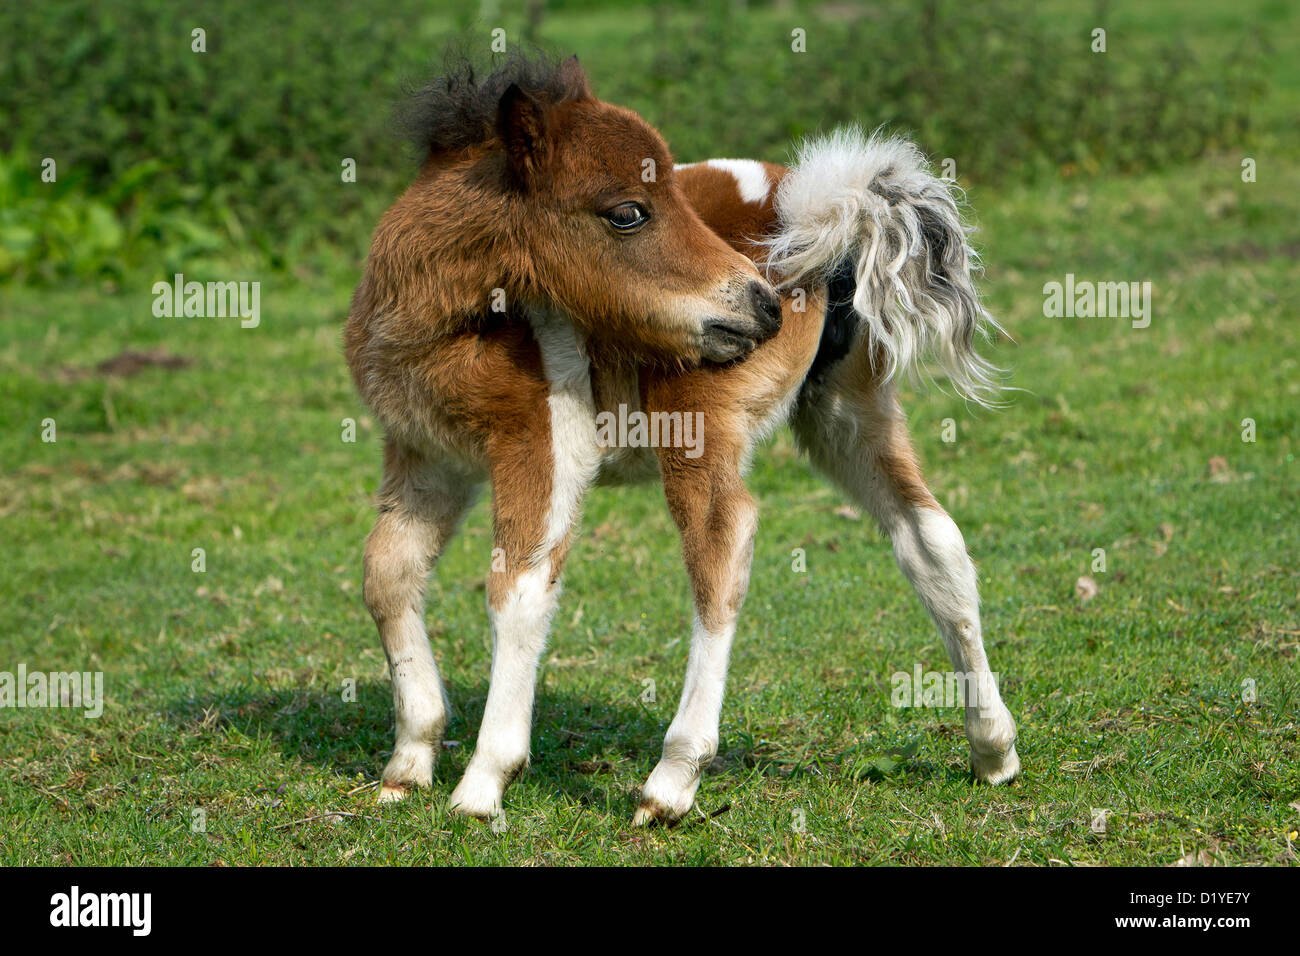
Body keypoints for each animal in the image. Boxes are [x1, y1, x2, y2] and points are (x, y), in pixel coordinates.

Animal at [344, 52, 1019, 825]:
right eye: (627, 211)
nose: (759, 304)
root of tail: (819, 206)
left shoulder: (541, 441)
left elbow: (518, 589)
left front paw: (482, 785)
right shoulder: (428, 457)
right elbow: (386, 574)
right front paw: (409, 760)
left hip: (699, 421)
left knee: (721, 548)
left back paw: (670, 782)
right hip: (845, 413)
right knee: (929, 539)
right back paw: (994, 751)